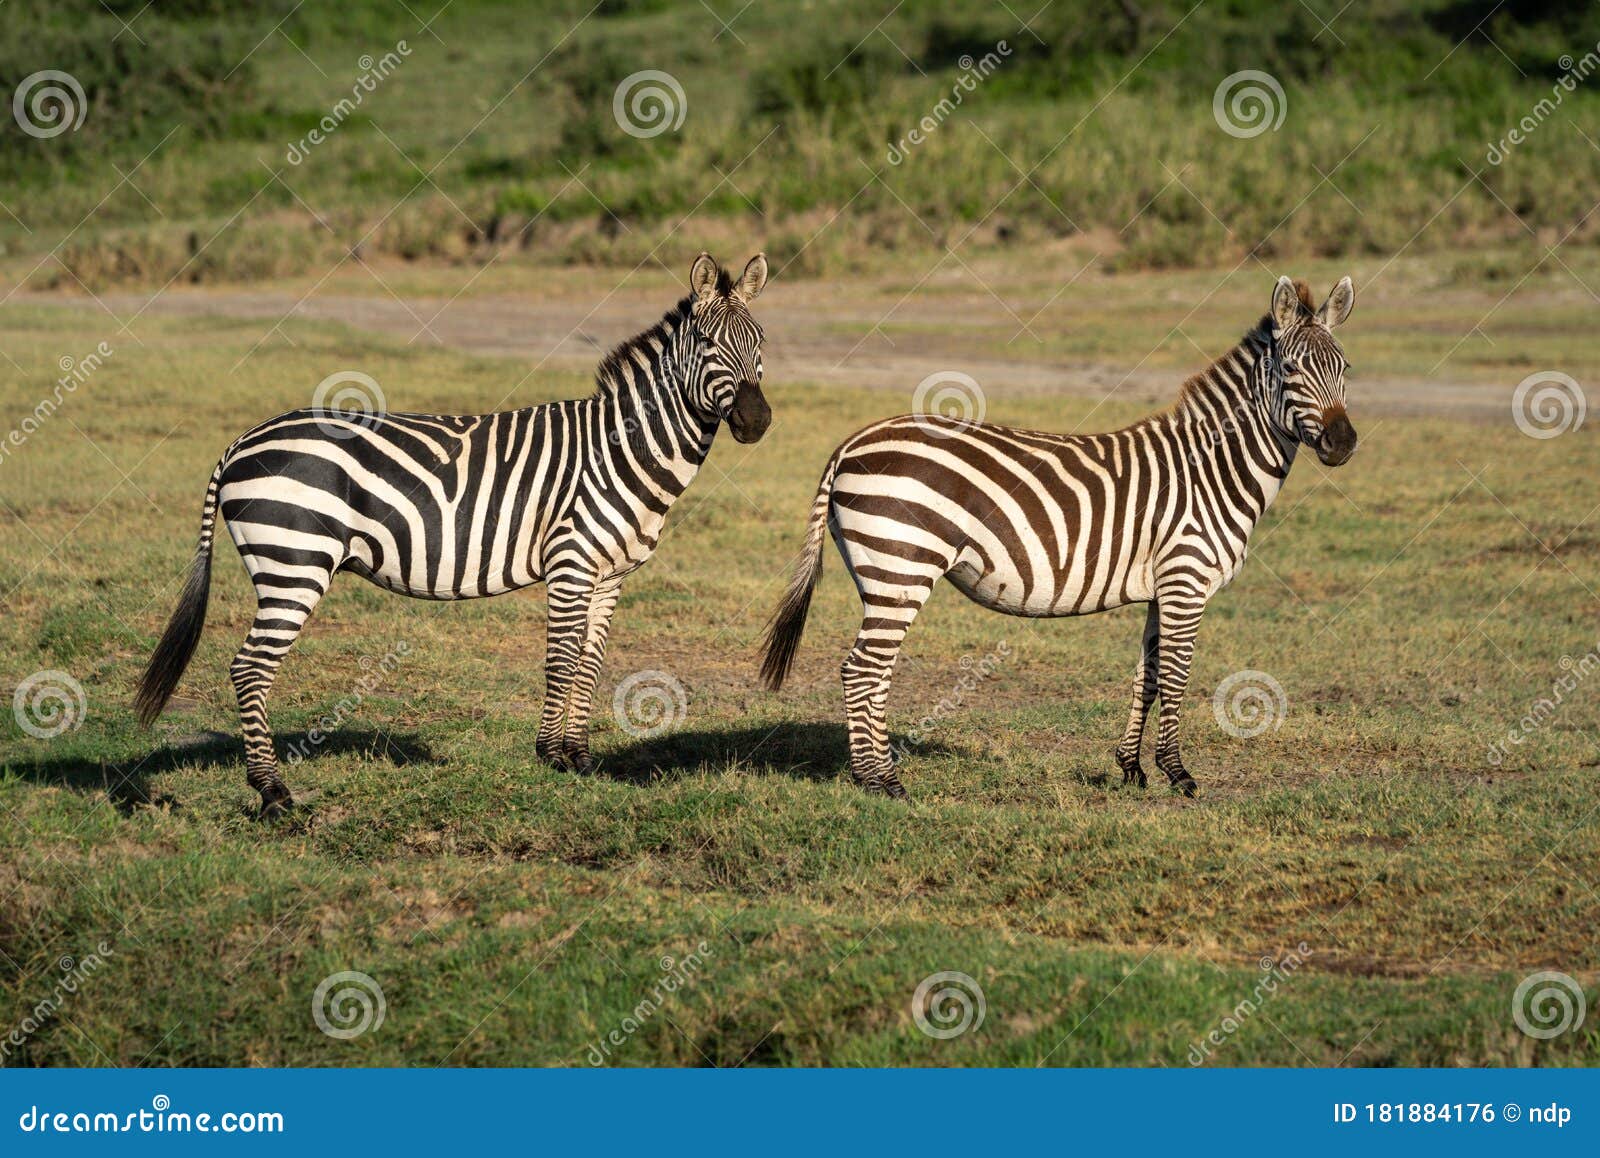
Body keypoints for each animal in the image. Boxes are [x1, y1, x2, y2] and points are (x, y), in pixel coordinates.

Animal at [135, 252, 771, 817]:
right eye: (708, 344)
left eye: (760, 344)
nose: (757, 421)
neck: (625, 451)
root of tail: (240, 442)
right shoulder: (570, 560)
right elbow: (561, 660)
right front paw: (551, 757)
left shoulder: (610, 573)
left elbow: (590, 663)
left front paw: (581, 760)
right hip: (294, 563)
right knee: (250, 668)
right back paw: (272, 794)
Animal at [759, 275, 1357, 799]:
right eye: (1292, 368)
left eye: (1345, 368)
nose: (1343, 442)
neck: (1212, 469)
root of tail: (850, 443)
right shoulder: (1187, 581)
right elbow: (1176, 677)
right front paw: (1178, 774)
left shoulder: (1162, 590)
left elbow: (1148, 676)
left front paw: (1131, 769)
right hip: (901, 566)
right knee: (864, 670)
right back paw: (881, 781)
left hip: (885, 575)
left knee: (867, 671)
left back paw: (873, 774)